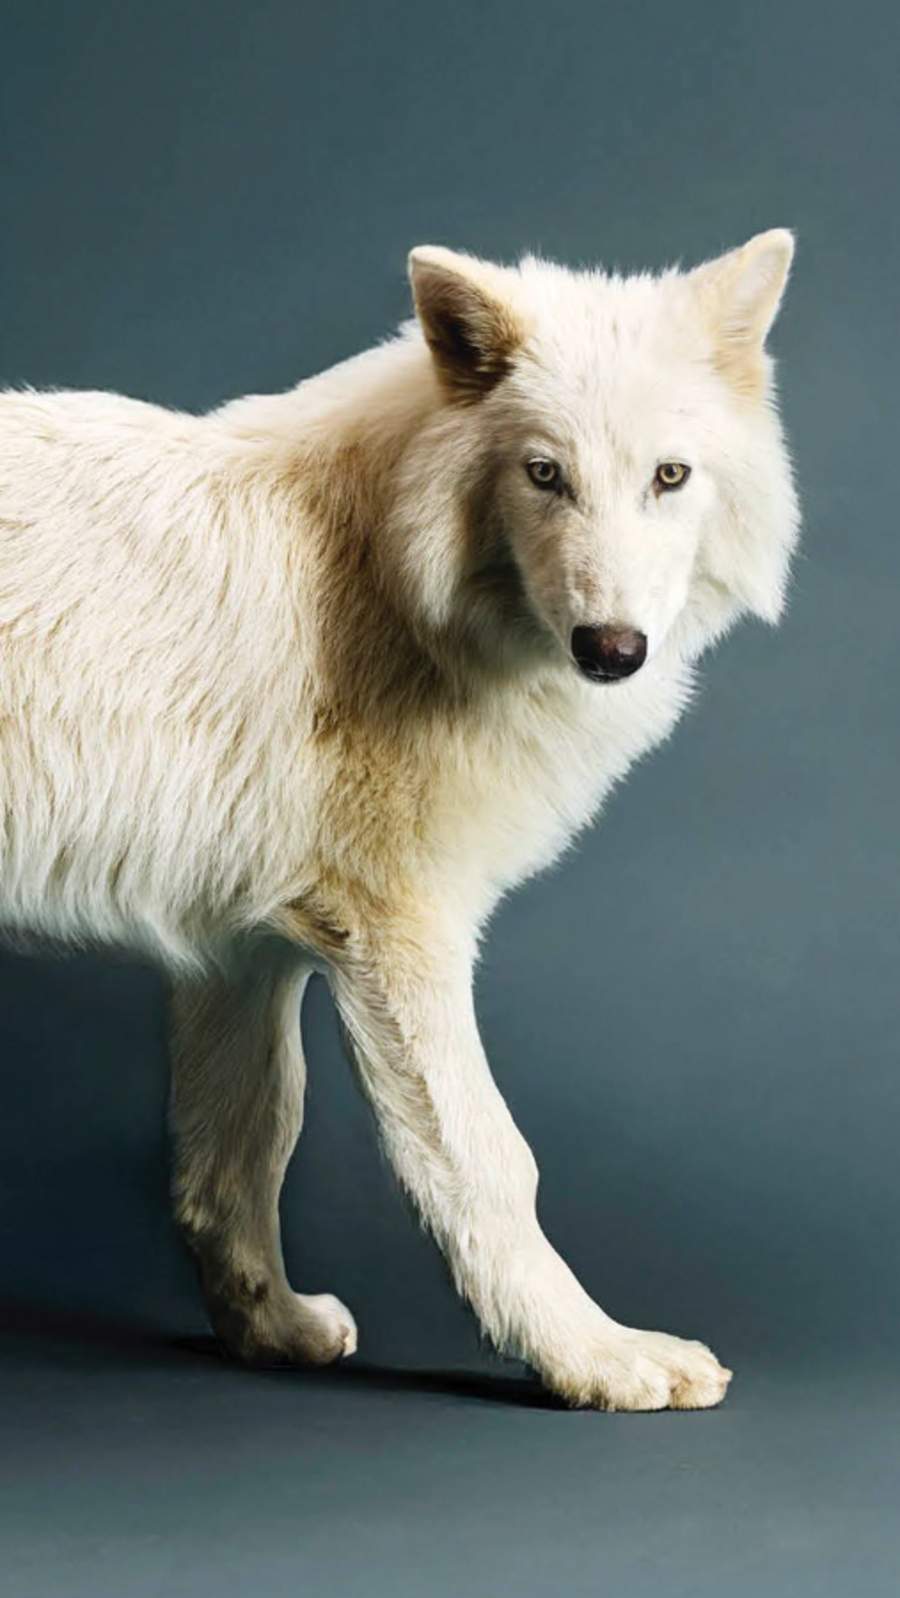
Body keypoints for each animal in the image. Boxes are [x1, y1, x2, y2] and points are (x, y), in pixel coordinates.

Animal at [0, 229, 797, 1409]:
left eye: (669, 476)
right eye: (544, 474)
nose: (612, 649)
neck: (388, 581)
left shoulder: (240, 951)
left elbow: (241, 1151)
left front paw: (269, 1331)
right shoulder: (400, 930)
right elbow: (491, 1162)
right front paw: (594, 1358)